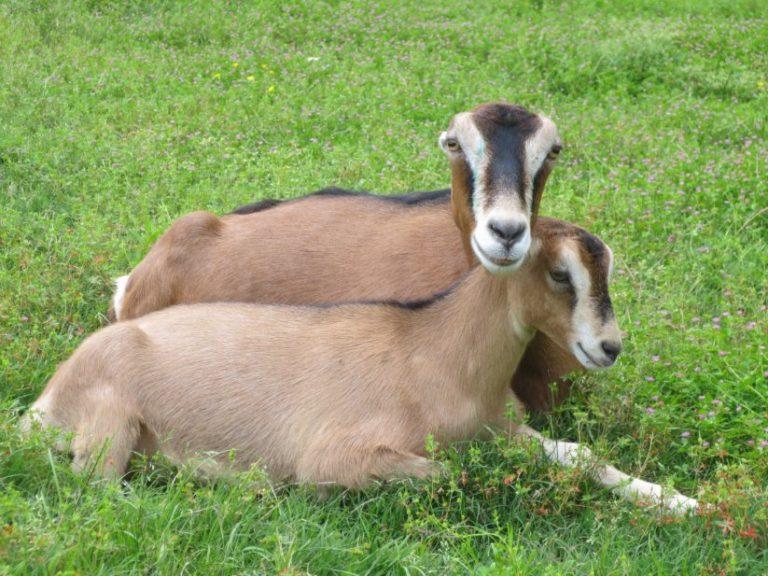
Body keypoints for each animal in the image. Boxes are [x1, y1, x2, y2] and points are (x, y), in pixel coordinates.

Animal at [28, 218, 698, 513]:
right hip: (111, 425)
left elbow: (580, 455)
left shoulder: (498, 426)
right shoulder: (334, 457)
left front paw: (682, 502)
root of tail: (44, 403)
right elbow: (451, 472)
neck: (433, 357)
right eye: (560, 273)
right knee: (100, 489)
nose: (609, 346)